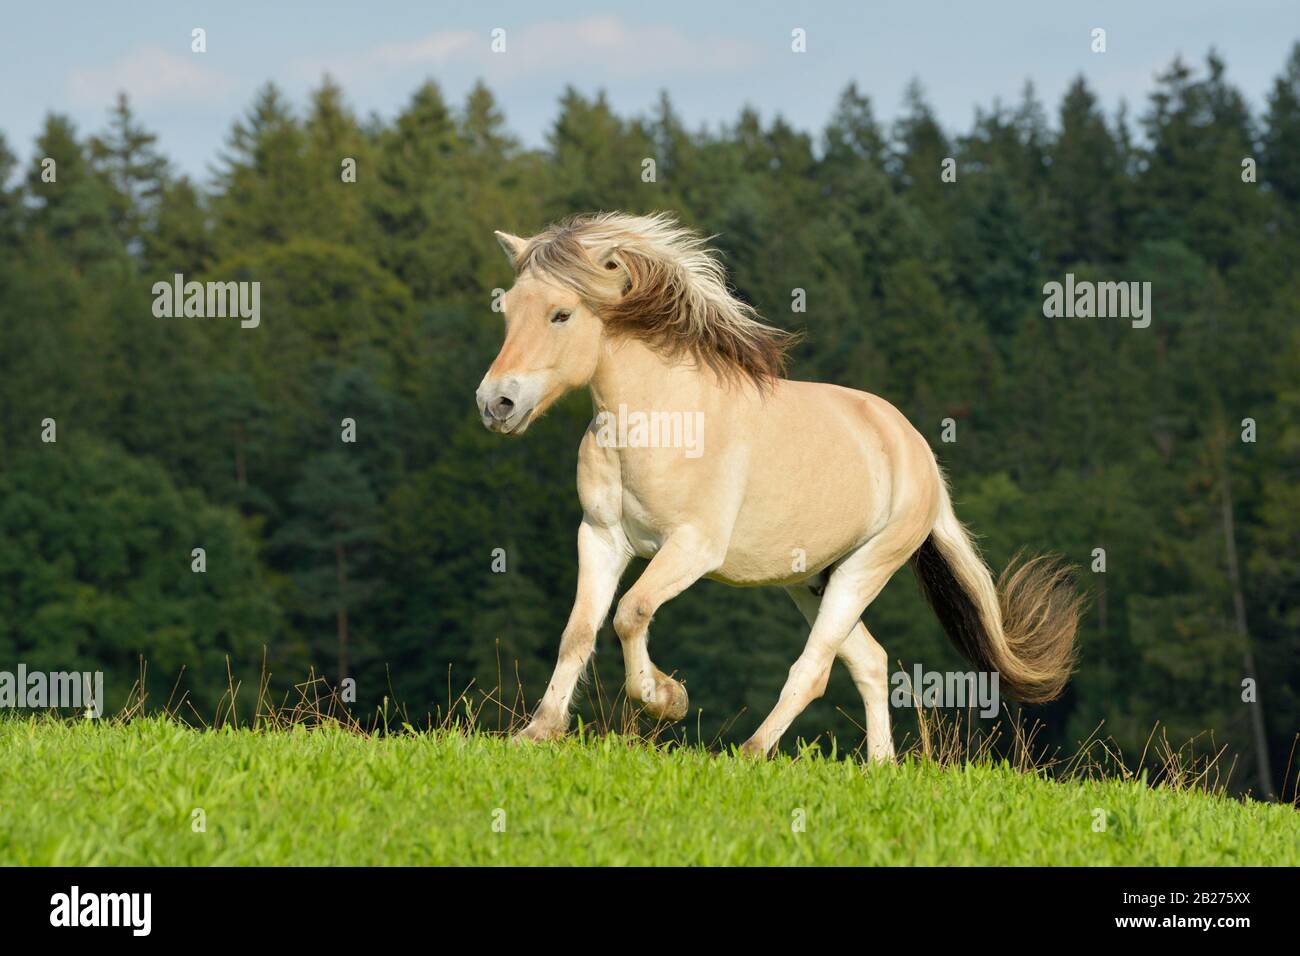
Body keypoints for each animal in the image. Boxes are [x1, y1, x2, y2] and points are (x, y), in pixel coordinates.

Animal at [475, 211, 1081, 760]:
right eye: (507, 310)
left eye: (561, 314)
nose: (496, 403)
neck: (659, 420)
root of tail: (919, 455)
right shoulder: (601, 538)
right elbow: (578, 631)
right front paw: (538, 732)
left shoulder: (693, 547)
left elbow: (631, 611)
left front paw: (667, 699)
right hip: (811, 580)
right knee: (869, 660)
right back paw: (880, 765)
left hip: (864, 569)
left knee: (815, 669)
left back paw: (753, 749)